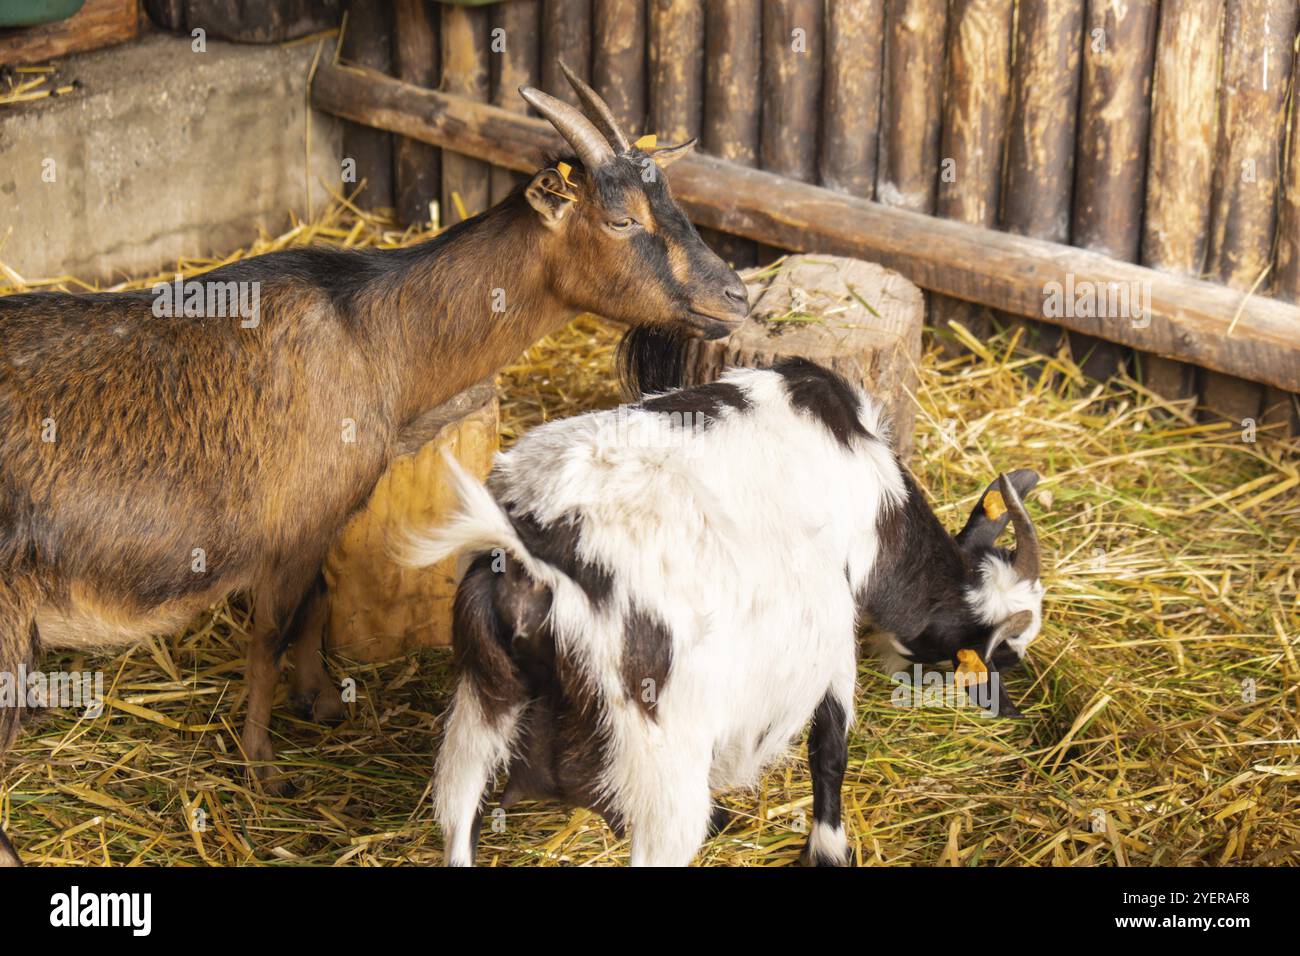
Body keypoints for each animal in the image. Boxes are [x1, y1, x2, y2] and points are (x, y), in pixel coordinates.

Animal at [0, 64, 747, 865]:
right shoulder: (288, 527)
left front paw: (322, 700)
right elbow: (268, 632)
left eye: (672, 202)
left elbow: (317, 603)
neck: (368, 332)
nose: (733, 294)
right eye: (620, 220)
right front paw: (263, 765)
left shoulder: (328, 515)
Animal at [402, 359, 1045, 866]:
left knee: (458, 820)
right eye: (1006, 658)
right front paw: (829, 849)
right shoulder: (834, 634)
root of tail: (533, 560)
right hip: (663, 770)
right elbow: (830, 748)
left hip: (477, 719)